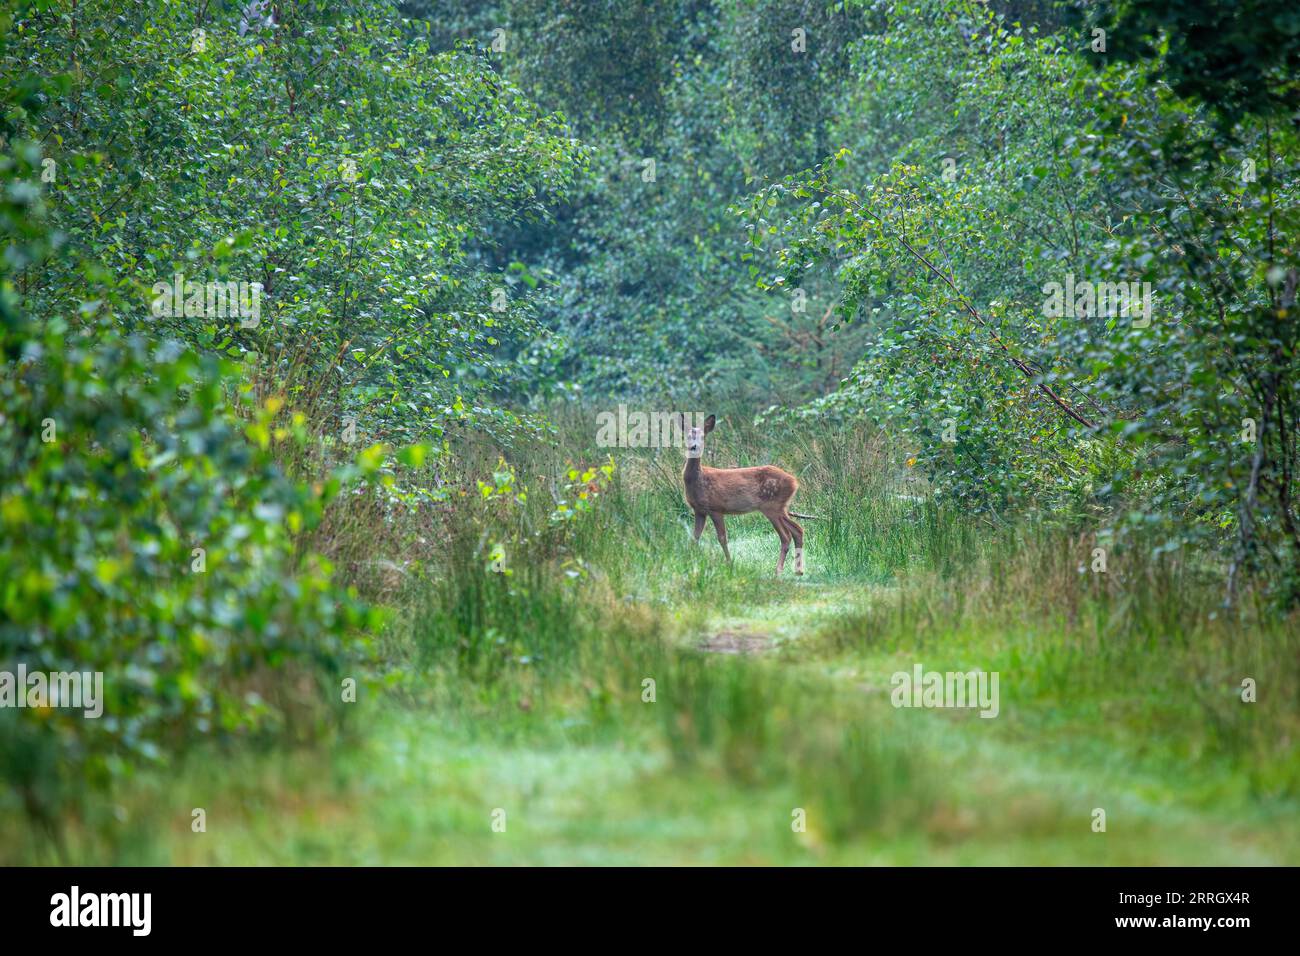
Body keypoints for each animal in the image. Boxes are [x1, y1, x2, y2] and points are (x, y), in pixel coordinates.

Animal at [679, 413, 817, 576]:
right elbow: (695, 537)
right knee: (797, 530)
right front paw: (688, 561)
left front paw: (729, 564)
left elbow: (722, 538)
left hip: (772, 507)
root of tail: (795, 482)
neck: (699, 481)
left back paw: (778, 570)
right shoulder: (699, 510)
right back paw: (798, 570)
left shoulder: (716, 508)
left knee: (786, 536)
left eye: (703, 436)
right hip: (780, 508)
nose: (694, 447)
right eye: (688, 435)